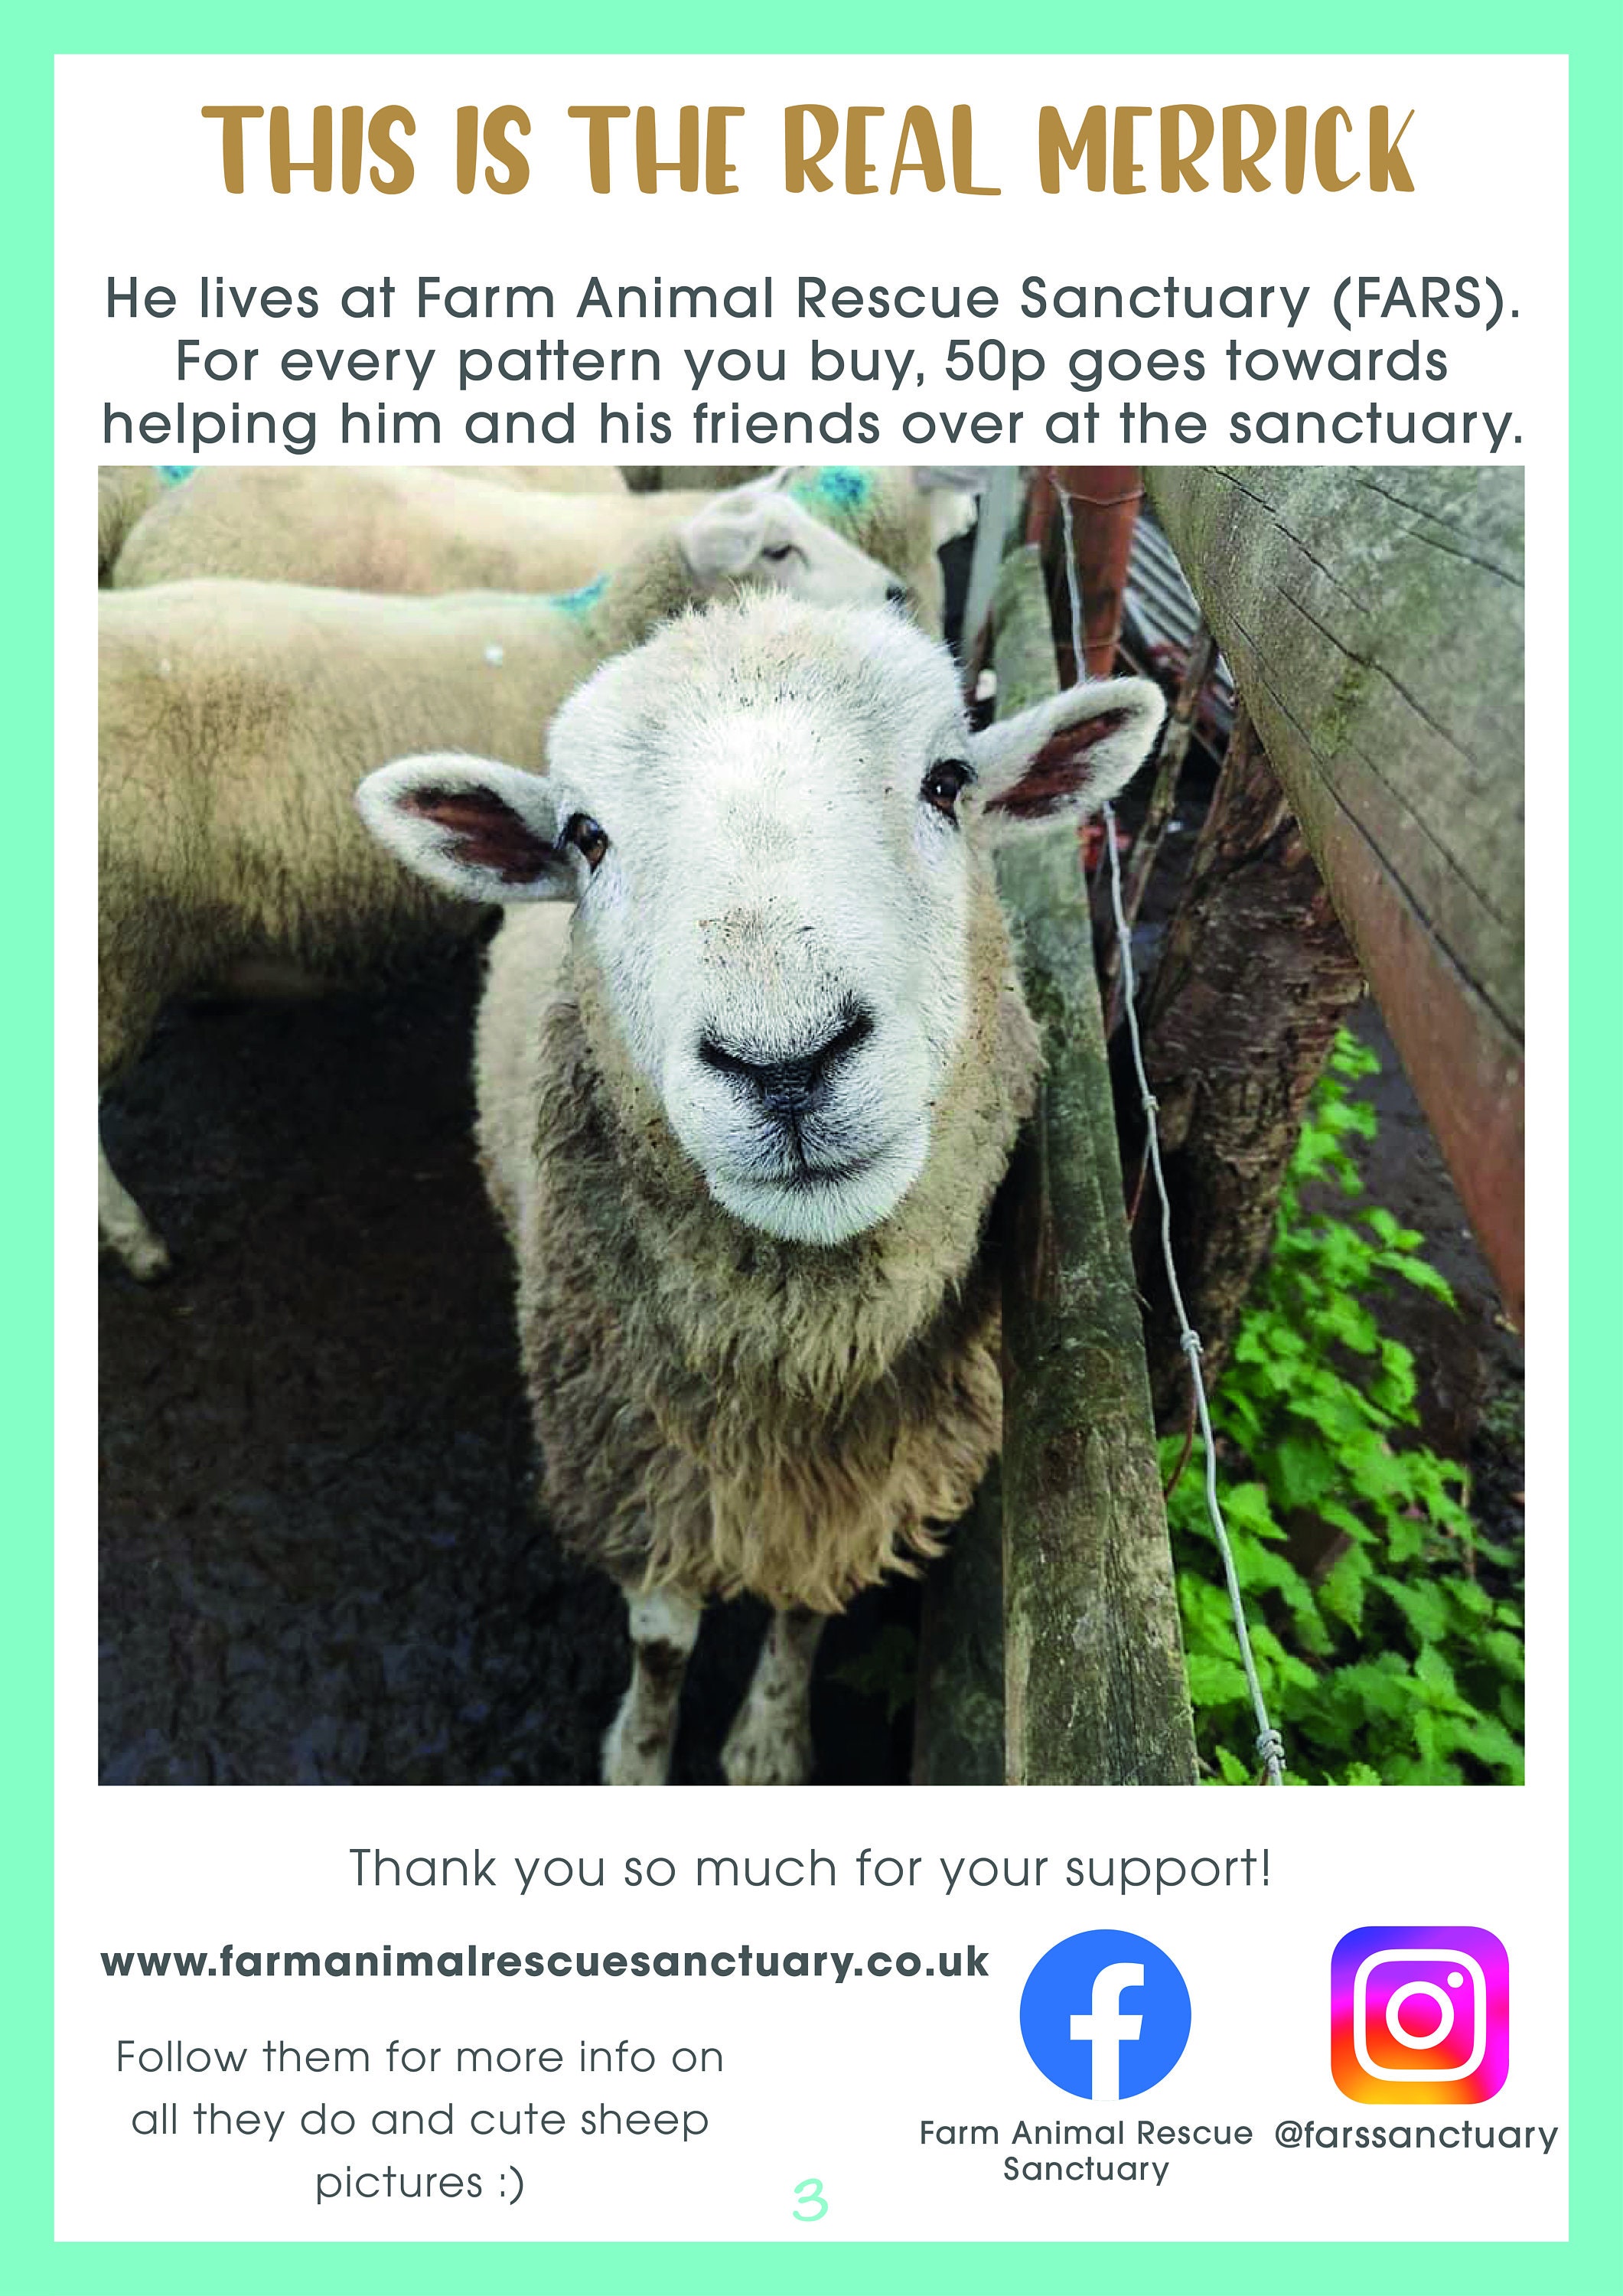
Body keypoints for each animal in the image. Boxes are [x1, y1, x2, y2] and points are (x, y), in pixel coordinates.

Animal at [356, 594, 1165, 1784]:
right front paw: (641, 1758)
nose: (785, 1064)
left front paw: (770, 1744)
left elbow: (803, 1613)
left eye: (948, 783)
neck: (799, 1391)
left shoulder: (859, 1491)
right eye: (586, 837)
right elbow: (661, 1641)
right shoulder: (636, 1468)